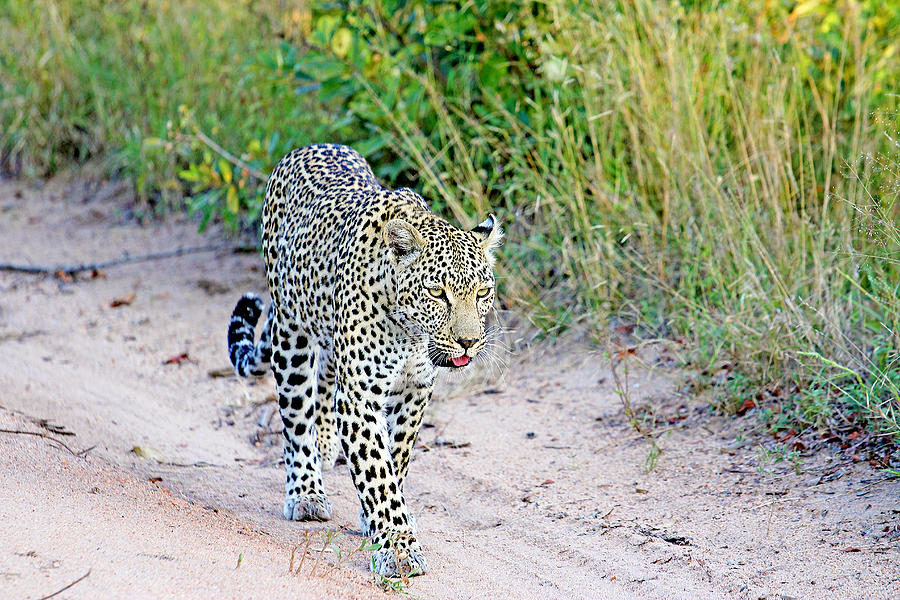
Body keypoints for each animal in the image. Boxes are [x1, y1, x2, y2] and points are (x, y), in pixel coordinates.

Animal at [227, 144, 502, 577]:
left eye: (483, 292)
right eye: (437, 292)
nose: (469, 342)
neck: (410, 331)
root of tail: (308, 147)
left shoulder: (414, 391)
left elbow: (396, 460)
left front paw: (377, 521)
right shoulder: (360, 397)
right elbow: (377, 473)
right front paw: (399, 548)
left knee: (324, 381)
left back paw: (325, 444)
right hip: (291, 335)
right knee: (296, 416)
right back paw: (306, 492)